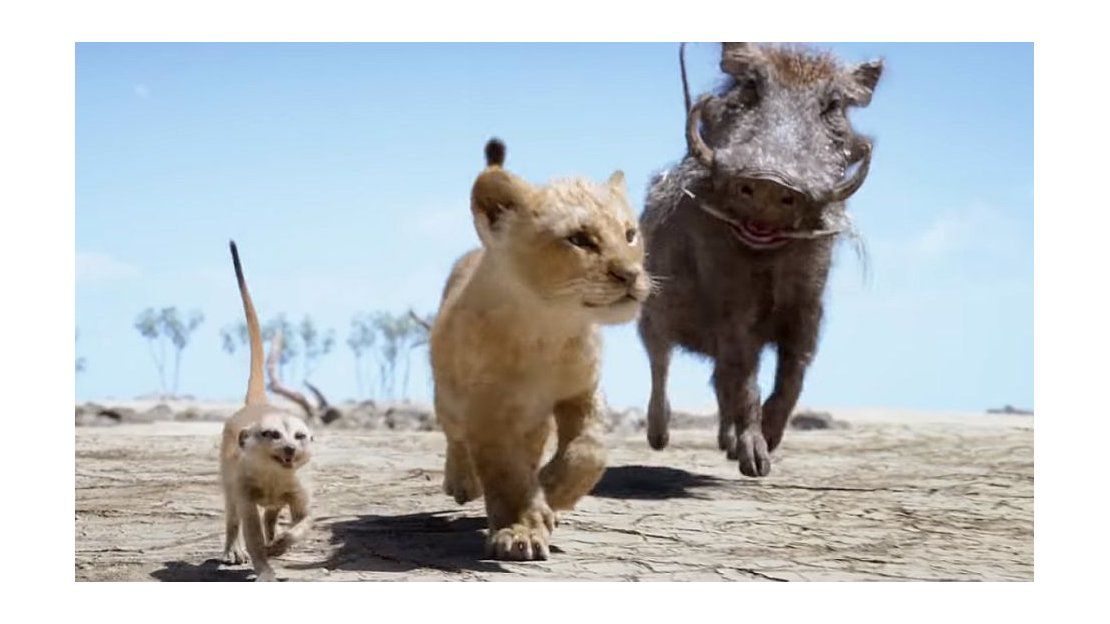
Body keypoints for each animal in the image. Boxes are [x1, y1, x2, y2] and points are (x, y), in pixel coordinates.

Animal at [429, 138, 650, 561]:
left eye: (630, 234)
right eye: (579, 239)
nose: (631, 275)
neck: (549, 328)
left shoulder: (582, 391)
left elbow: (590, 451)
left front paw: (551, 490)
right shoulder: (489, 412)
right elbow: (507, 476)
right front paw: (521, 529)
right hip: (448, 397)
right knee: (455, 437)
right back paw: (463, 481)